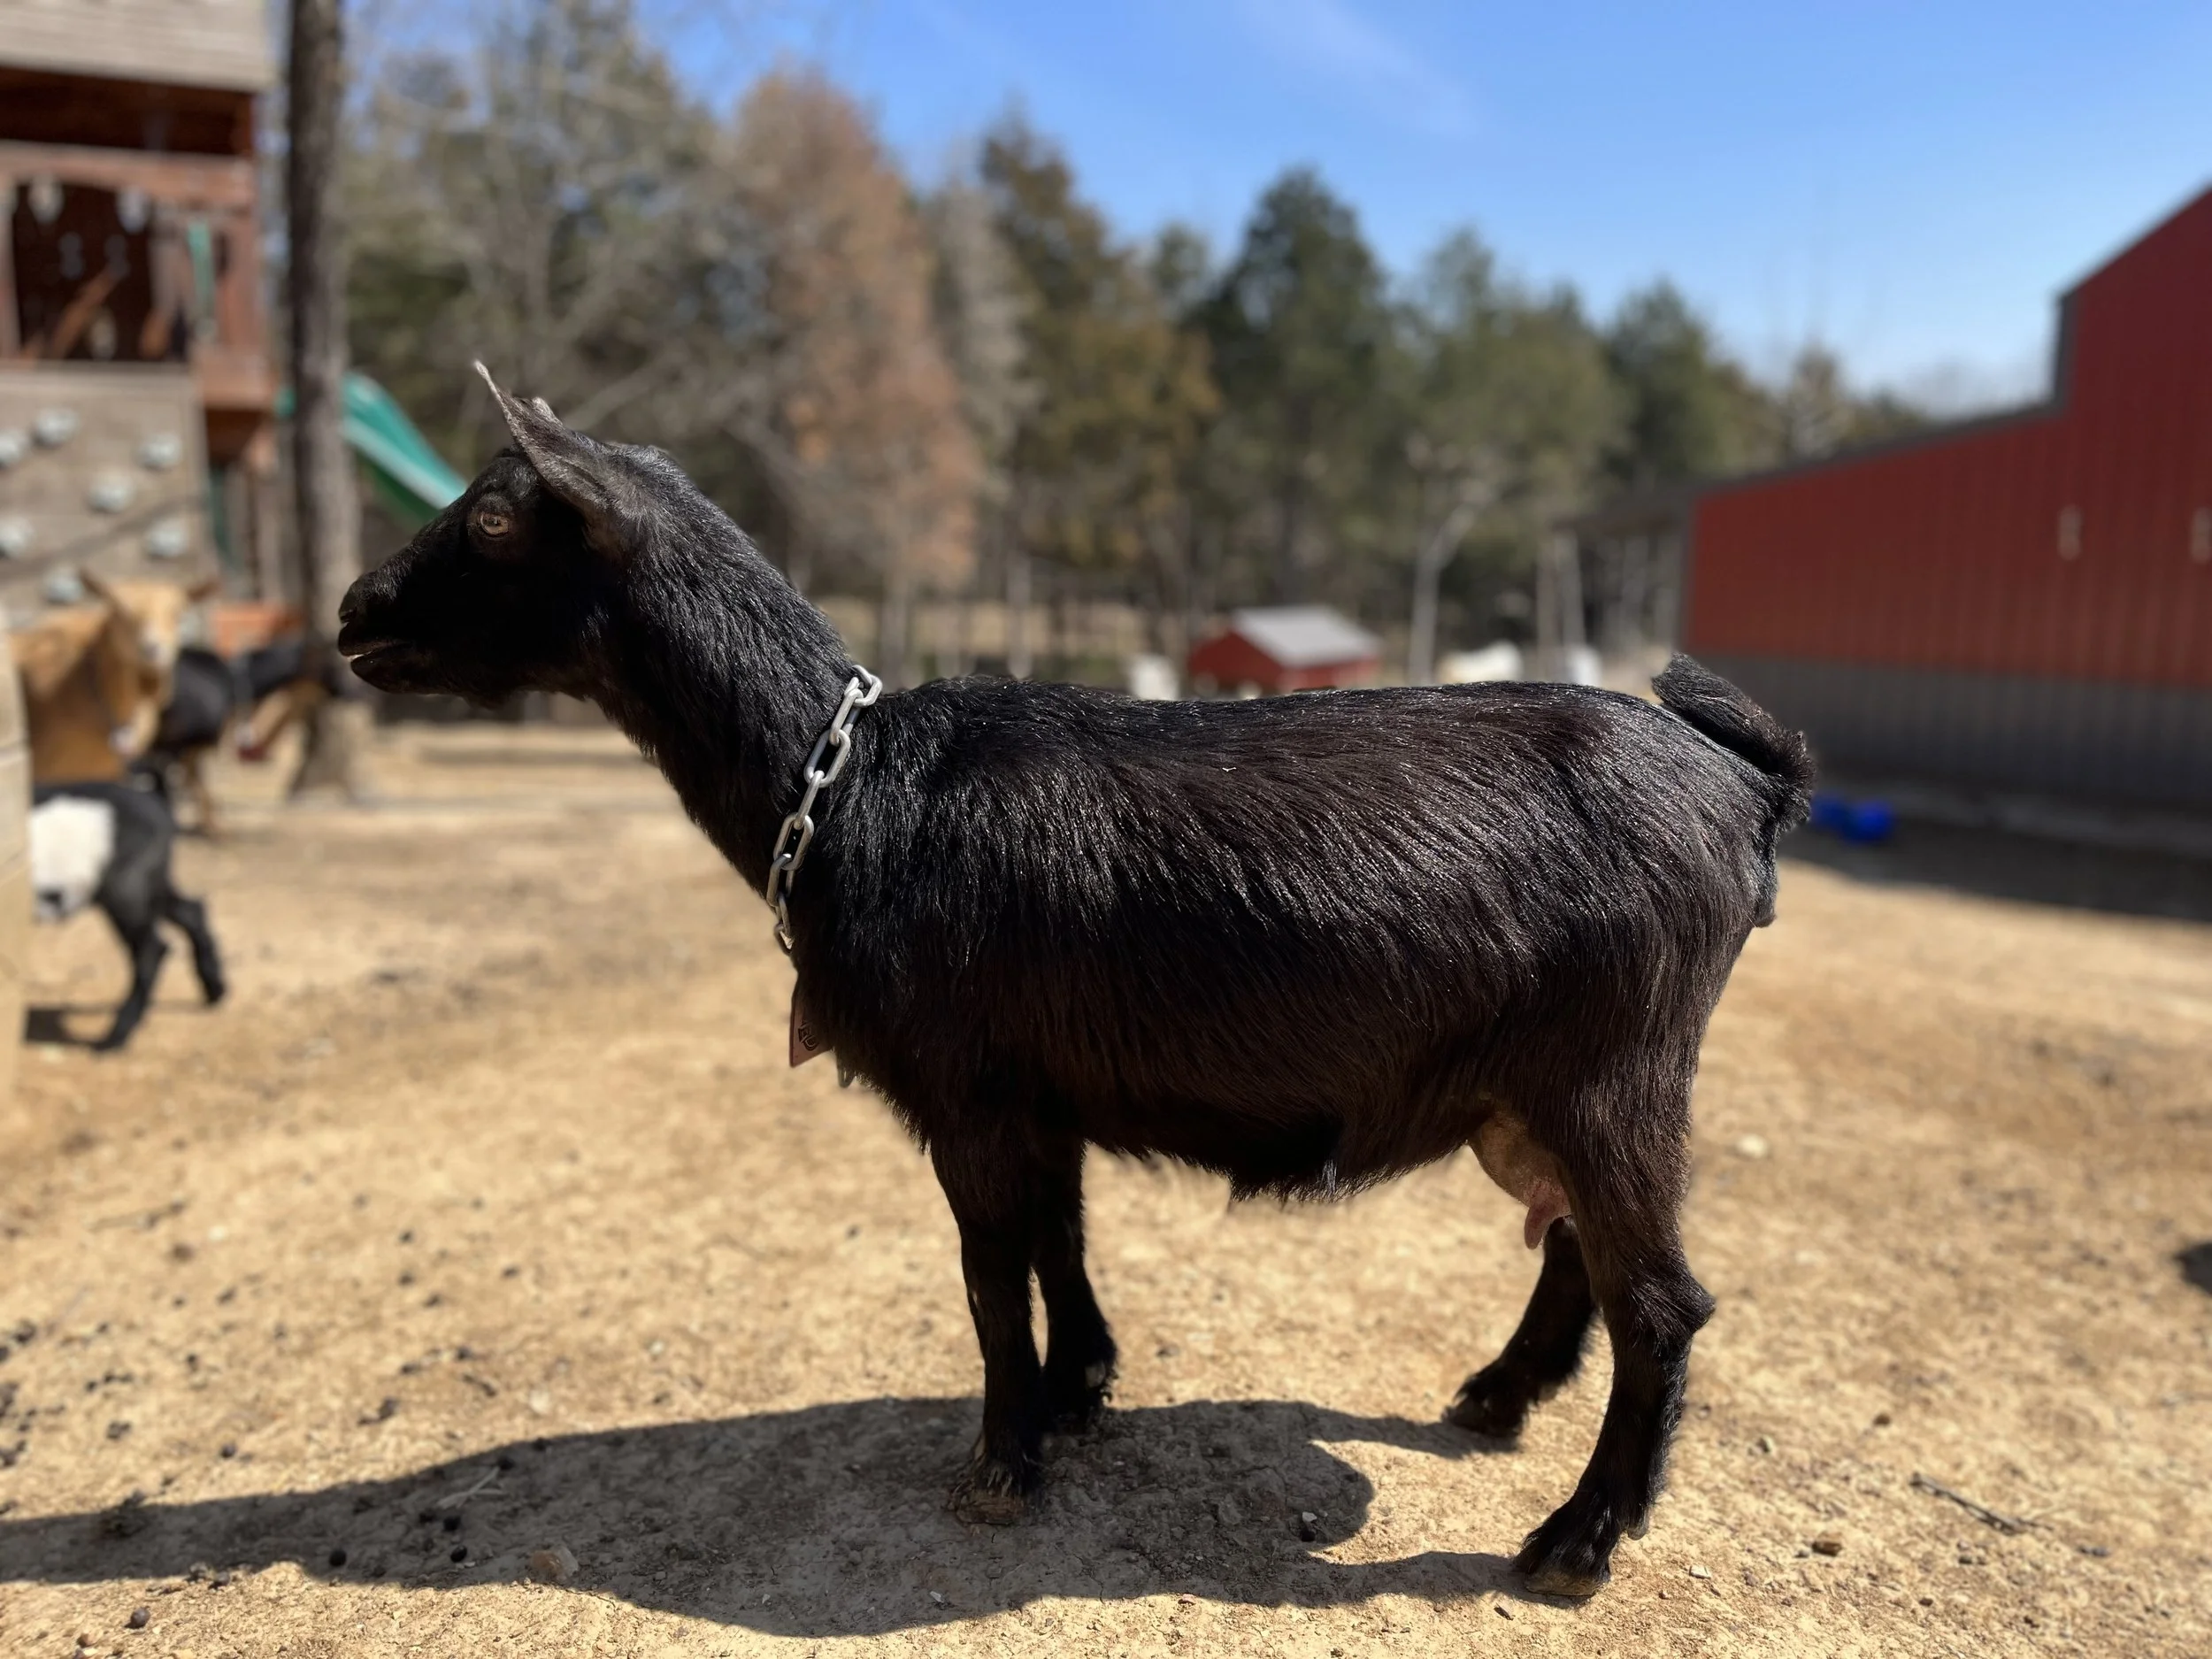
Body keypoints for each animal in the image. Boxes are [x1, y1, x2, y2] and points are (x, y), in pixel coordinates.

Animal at [30, 781, 227, 1051]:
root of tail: (156, 804)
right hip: (150, 880)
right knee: (190, 910)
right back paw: (215, 991)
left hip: (127, 886)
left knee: (151, 948)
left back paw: (114, 1038)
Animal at [335, 371, 1814, 1598]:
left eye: (493, 521)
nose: (351, 612)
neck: (850, 783)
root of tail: (1745, 784)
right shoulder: (1035, 1085)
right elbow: (1062, 1237)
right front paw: (1080, 1388)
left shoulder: (964, 1088)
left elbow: (992, 1273)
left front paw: (1003, 1459)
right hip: (1551, 1086)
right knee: (1576, 1245)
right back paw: (1498, 1399)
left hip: (1617, 1063)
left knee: (1661, 1301)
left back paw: (1577, 1537)